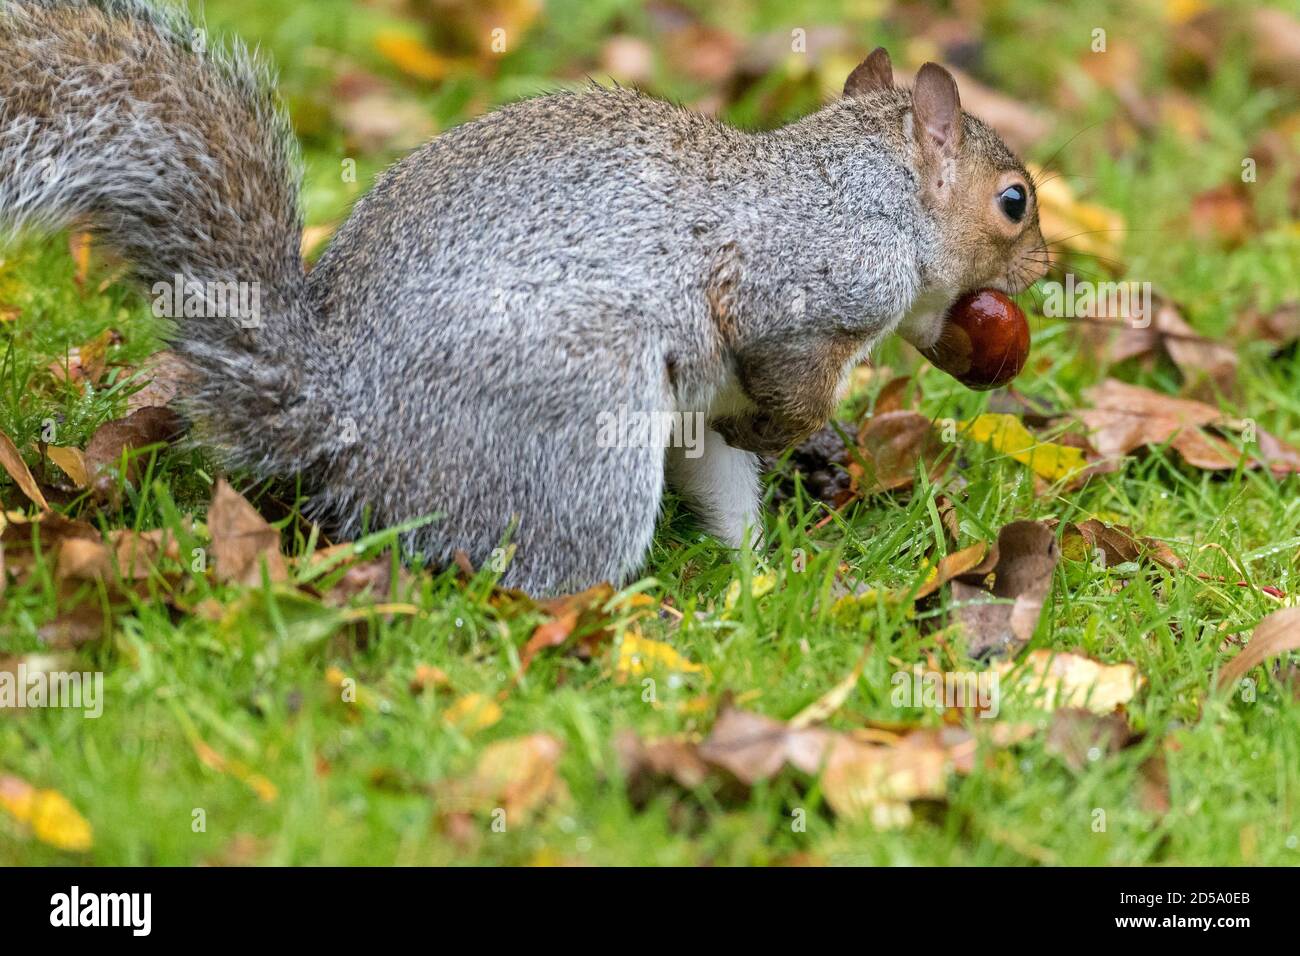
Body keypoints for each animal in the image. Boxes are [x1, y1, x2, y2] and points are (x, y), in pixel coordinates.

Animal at [0, 0, 1047, 595]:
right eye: (1014, 201)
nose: (1043, 269)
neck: (872, 190)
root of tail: (342, 416)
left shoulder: (704, 400)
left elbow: (721, 476)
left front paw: (770, 569)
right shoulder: (805, 285)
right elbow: (780, 383)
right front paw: (795, 442)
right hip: (584, 416)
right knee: (535, 573)